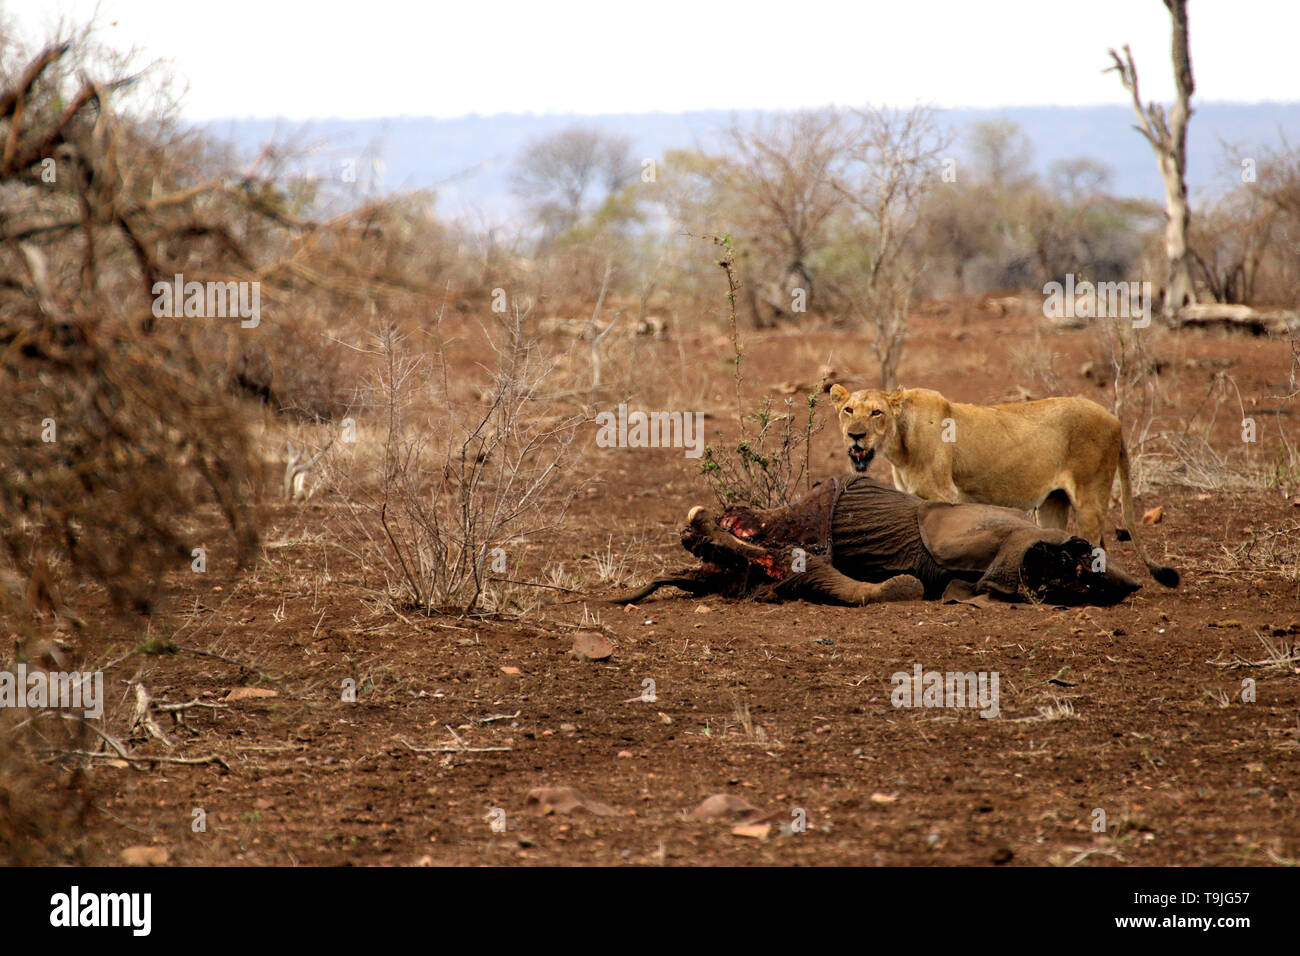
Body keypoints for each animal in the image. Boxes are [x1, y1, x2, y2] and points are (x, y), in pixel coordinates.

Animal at [827, 384, 1179, 587]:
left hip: (1090, 496)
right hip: (1052, 503)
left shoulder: (944, 494)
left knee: (1095, 545)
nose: (855, 435)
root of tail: (1114, 419)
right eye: (848, 411)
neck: (898, 444)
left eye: (876, 412)